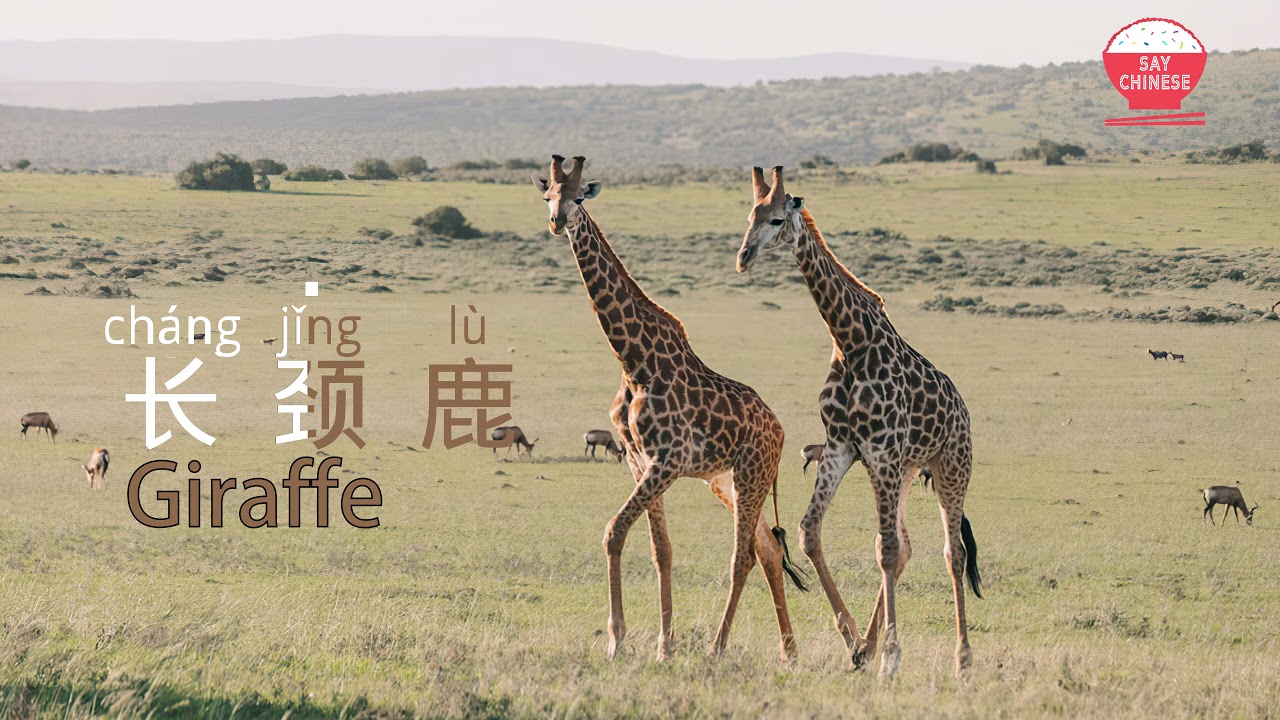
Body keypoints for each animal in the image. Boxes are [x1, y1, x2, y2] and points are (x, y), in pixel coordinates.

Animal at [533, 155, 807, 662]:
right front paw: (663, 644)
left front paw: (618, 640)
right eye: (548, 196)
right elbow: (662, 550)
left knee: (744, 555)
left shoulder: (668, 460)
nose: (557, 222)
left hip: (751, 474)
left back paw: (720, 648)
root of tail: (780, 431)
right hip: (729, 481)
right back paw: (790, 652)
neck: (632, 360)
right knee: (768, 550)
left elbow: (614, 531)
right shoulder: (639, 462)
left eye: (579, 197)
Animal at [735, 166, 984, 679]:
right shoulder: (842, 447)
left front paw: (890, 656)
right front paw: (852, 639)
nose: (743, 258)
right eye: (749, 216)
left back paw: (962, 658)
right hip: (907, 470)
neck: (850, 341)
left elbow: (885, 551)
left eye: (776, 219)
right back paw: (869, 645)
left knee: (952, 553)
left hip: (951, 467)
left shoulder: (881, 452)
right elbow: (810, 532)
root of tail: (962, 411)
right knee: (905, 546)